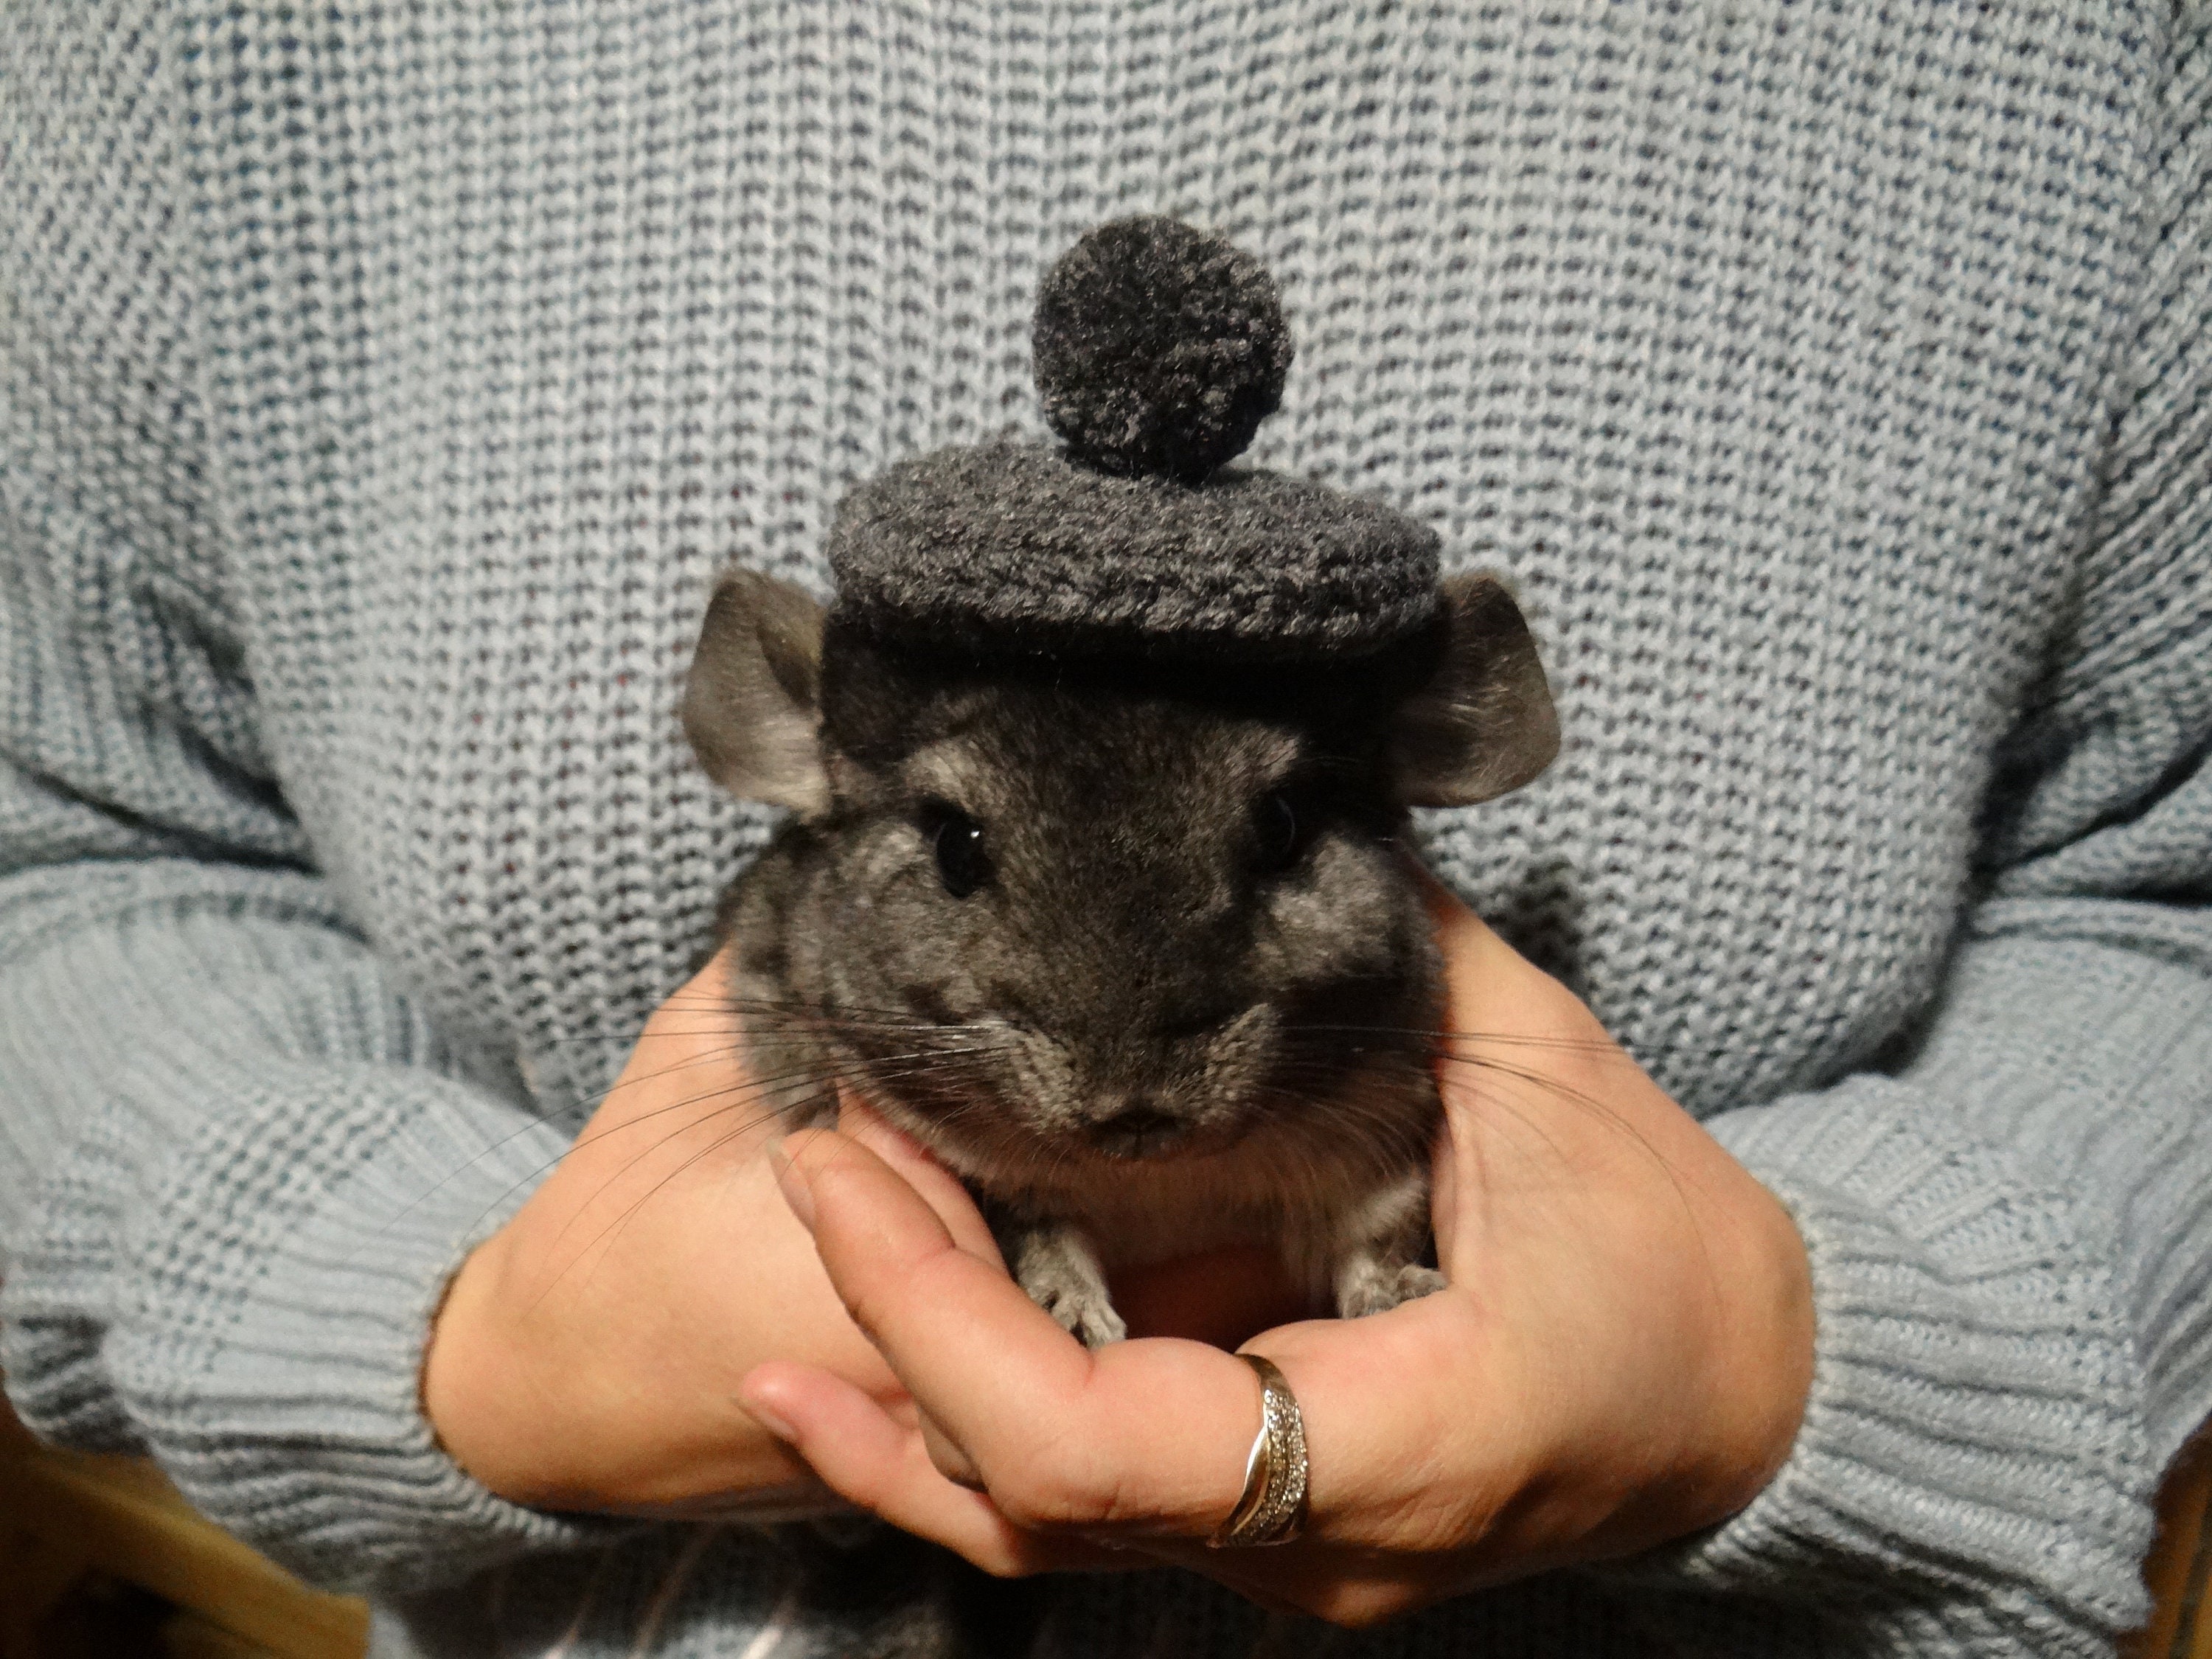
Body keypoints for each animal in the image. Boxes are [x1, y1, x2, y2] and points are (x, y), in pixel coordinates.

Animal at [682, 565, 1557, 1346]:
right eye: (954, 846)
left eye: (1283, 825)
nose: (1134, 1105)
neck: (1160, 1185)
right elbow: (1035, 1239)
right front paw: (1069, 1316)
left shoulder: (1379, 1137)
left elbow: (1374, 1232)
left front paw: (1401, 1297)